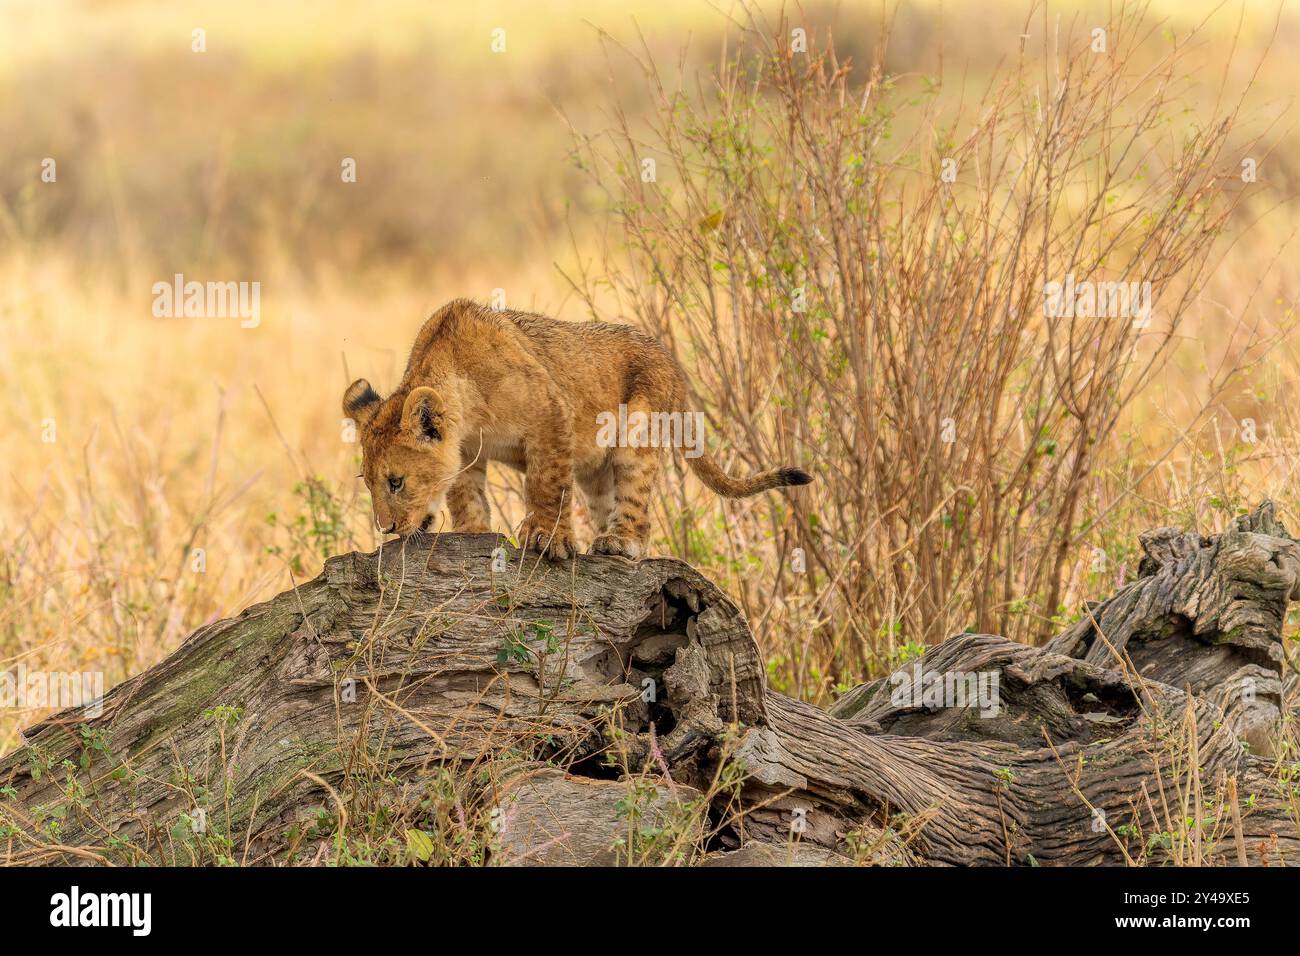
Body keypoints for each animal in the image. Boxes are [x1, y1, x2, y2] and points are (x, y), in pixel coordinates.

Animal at [342, 299, 812, 559]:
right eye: (369, 483)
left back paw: (619, 542)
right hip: (595, 471)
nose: (386, 529)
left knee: (639, 516)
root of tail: (671, 361)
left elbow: (546, 486)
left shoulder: (551, 415)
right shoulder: (464, 451)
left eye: (396, 482)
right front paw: (473, 533)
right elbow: (466, 495)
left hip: (639, 432)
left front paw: (547, 539)